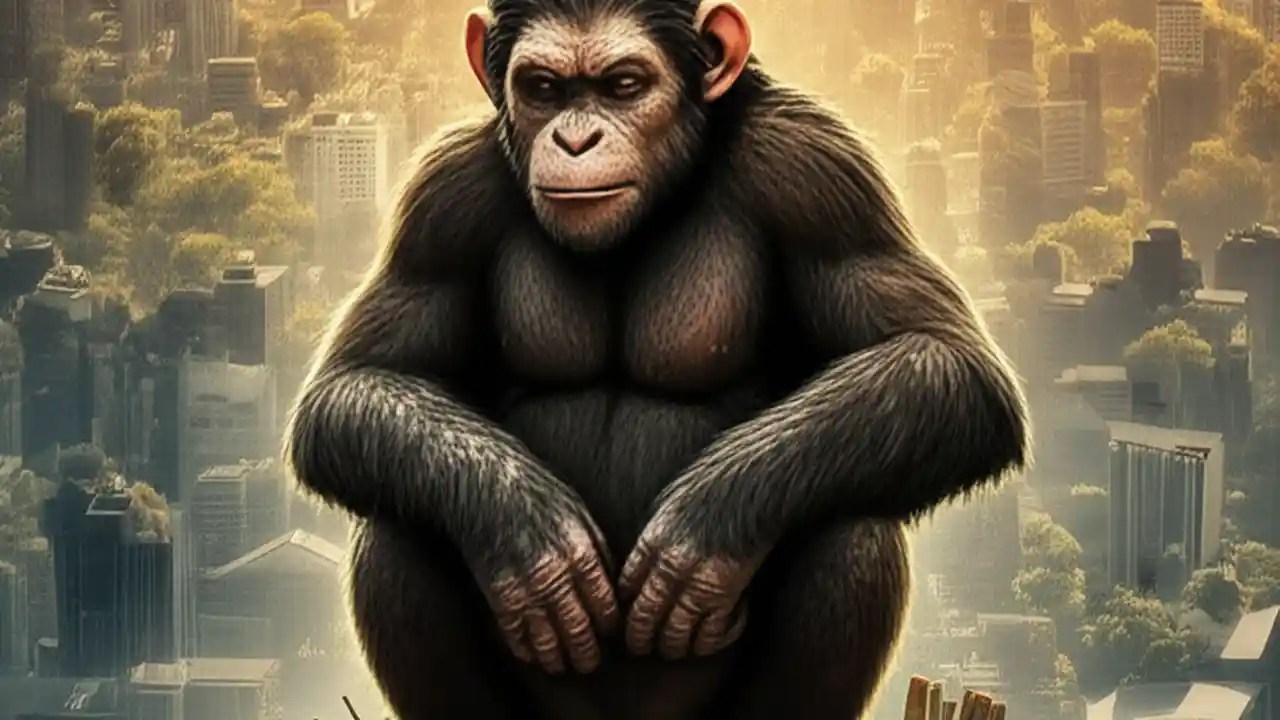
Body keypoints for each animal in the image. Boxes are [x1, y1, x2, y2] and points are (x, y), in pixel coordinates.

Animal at [283, 1, 1030, 719]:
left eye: (623, 85)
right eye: (543, 88)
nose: (575, 140)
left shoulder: (817, 170)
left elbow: (943, 352)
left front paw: (701, 531)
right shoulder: (443, 199)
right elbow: (359, 378)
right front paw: (527, 532)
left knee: (854, 529)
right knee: (398, 532)